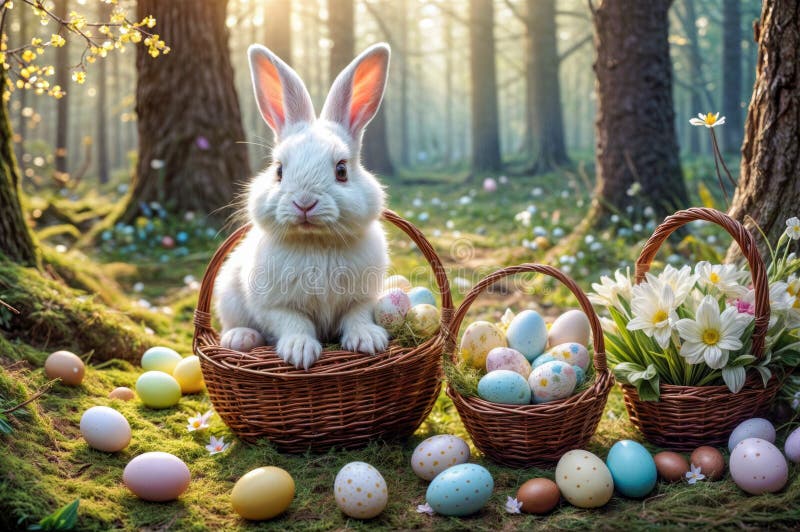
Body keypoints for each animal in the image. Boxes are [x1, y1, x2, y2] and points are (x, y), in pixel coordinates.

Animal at [214, 43, 393, 370]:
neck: (315, 242)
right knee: (235, 325)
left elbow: (357, 316)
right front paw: (300, 352)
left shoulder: (363, 298)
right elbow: (294, 323)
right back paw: (241, 338)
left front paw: (368, 341)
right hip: (229, 296)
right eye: (279, 170)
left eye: (341, 170)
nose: (304, 203)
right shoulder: (274, 305)